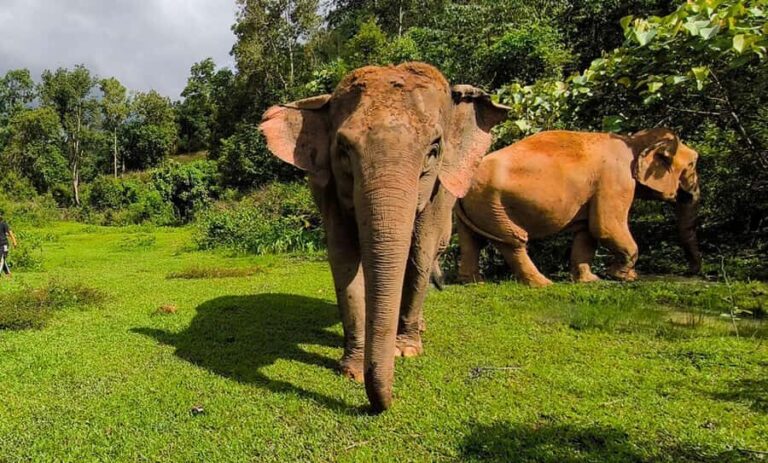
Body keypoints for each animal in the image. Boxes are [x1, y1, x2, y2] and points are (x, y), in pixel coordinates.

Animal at [259, 62, 509, 412]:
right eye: (343, 150)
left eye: (433, 150)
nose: (381, 405)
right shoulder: (327, 186)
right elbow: (343, 258)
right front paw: (353, 370)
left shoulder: (438, 188)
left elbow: (420, 251)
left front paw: (406, 351)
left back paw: (417, 328)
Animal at [455, 128, 702, 287]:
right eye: (692, 164)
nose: (693, 272)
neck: (633, 141)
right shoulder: (615, 179)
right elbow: (604, 227)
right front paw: (623, 277)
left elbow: (587, 233)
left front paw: (591, 281)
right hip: (493, 205)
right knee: (513, 240)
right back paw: (544, 284)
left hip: (479, 206)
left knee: (472, 240)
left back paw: (474, 283)